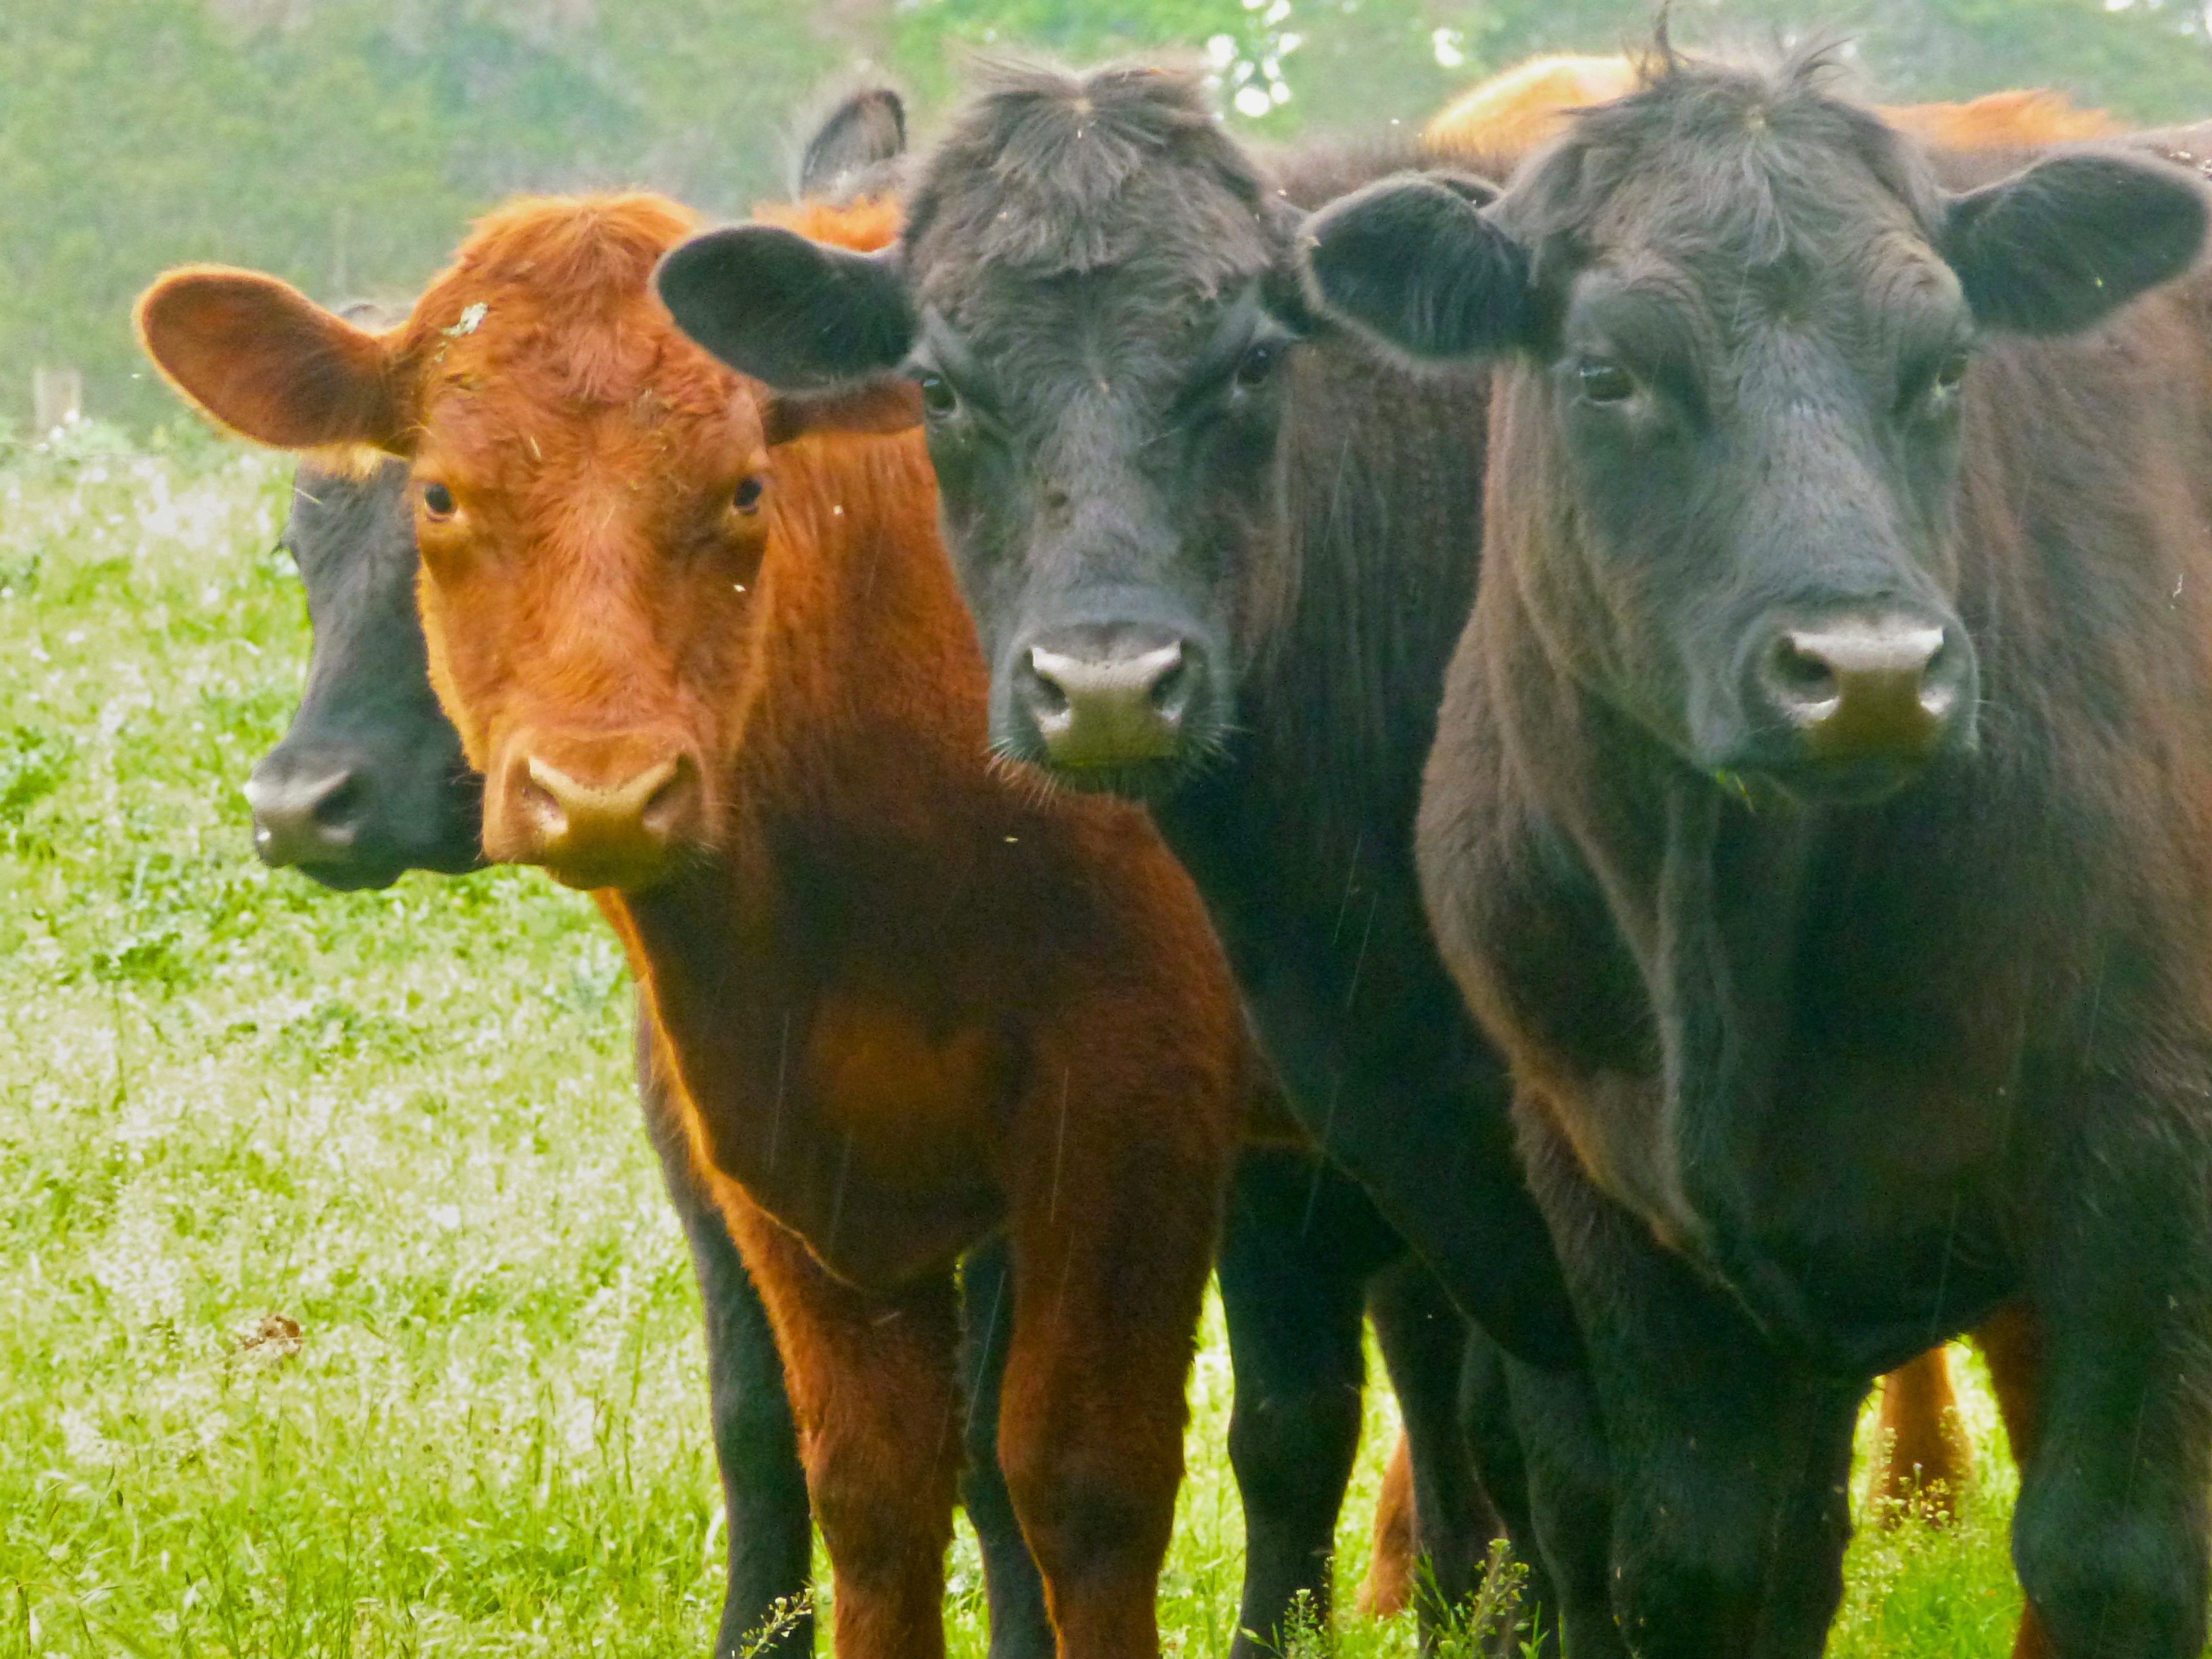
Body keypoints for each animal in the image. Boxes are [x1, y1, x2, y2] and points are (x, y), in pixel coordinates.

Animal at [1304, 44, 2212, 1659]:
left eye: (1948, 363)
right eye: (1608, 374)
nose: (1869, 671)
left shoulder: (2148, 1146)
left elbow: (2111, 1557)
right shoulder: (1605, 1183)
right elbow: (1708, 1561)